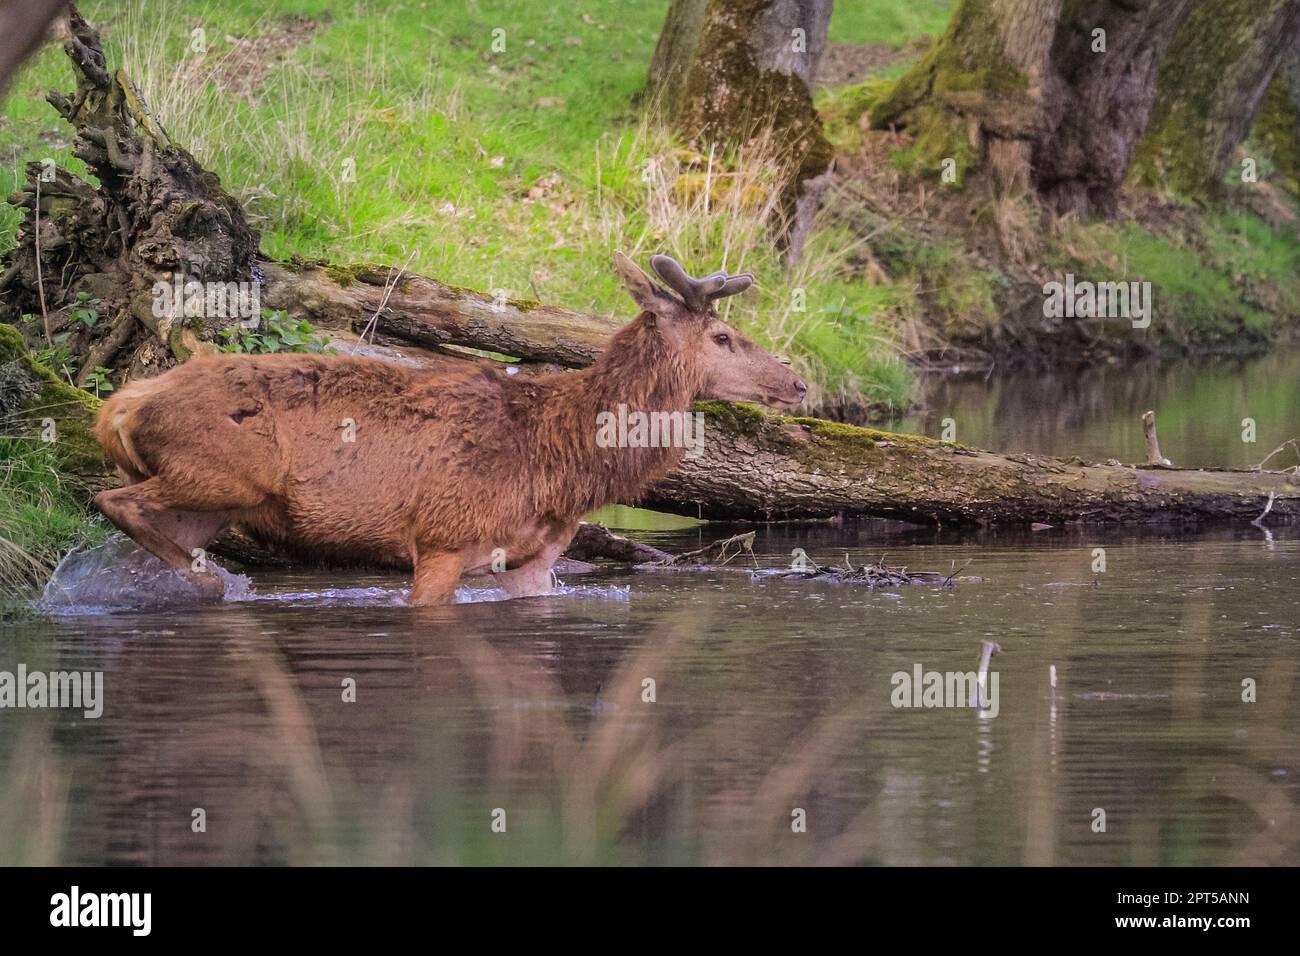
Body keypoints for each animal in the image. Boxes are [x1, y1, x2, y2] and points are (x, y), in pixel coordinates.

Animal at [93, 252, 807, 605]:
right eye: (723, 336)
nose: (799, 382)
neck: (562, 461)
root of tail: (118, 407)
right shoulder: (442, 535)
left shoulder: (533, 561)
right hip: (223, 475)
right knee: (110, 498)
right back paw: (213, 585)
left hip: (212, 505)